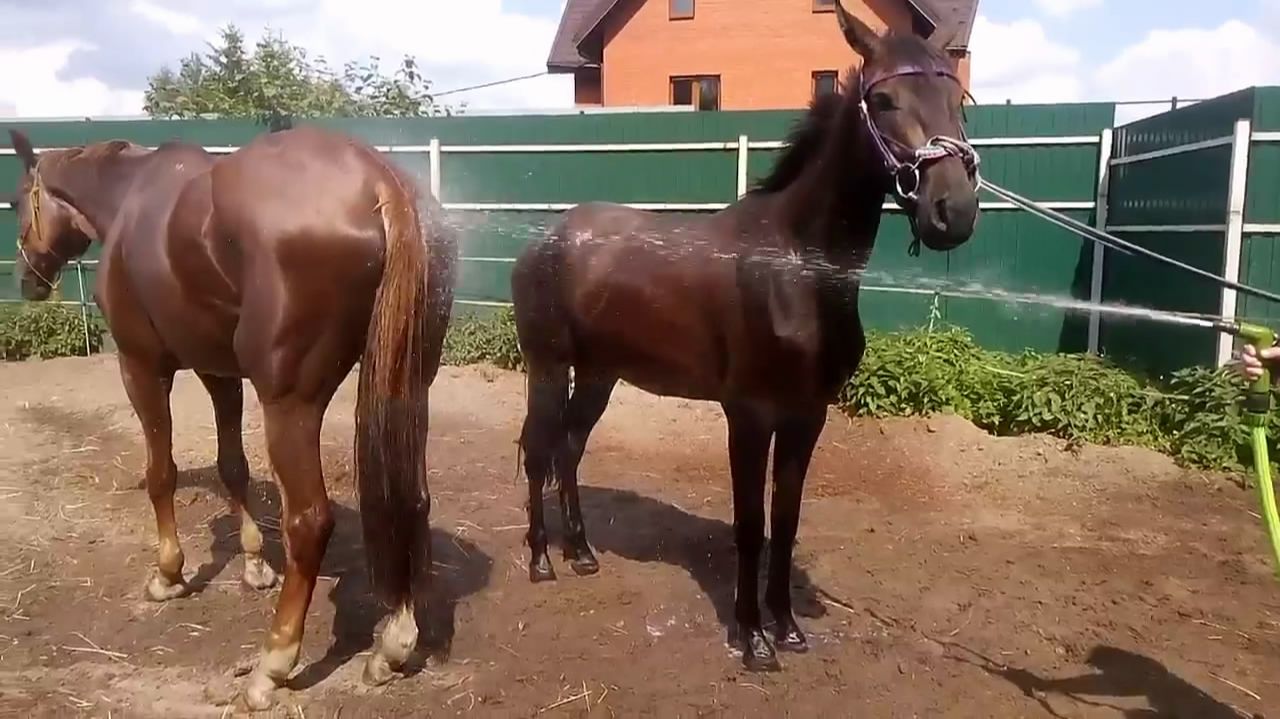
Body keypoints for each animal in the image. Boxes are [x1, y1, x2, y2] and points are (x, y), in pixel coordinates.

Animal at [7, 124, 457, 708]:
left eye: (17, 201)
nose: (28, 281)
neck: (128, 197)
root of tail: (382, 183)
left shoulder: (141, 367)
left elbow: (162, 472)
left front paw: (168, 575)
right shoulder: (218, 372)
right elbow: (232, 467)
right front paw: (254, 565)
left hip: (290, 403)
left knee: (309, 521)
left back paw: (272, 665)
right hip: (409, 383)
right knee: (408, 498)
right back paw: (394, 647)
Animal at [510, 0, 980, 672]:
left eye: (957, 98)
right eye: (884, 99)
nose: (953, 212)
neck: (796, 266)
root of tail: (546, 240)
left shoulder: (808, 415)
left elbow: (785, 520)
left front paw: (786, 627)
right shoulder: (750, 415)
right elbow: (751, 523)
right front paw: (753, 638)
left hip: (601, 373)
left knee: (570, 448)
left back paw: (581, 554)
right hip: (547, 367)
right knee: (538, 449)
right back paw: (542, 560)